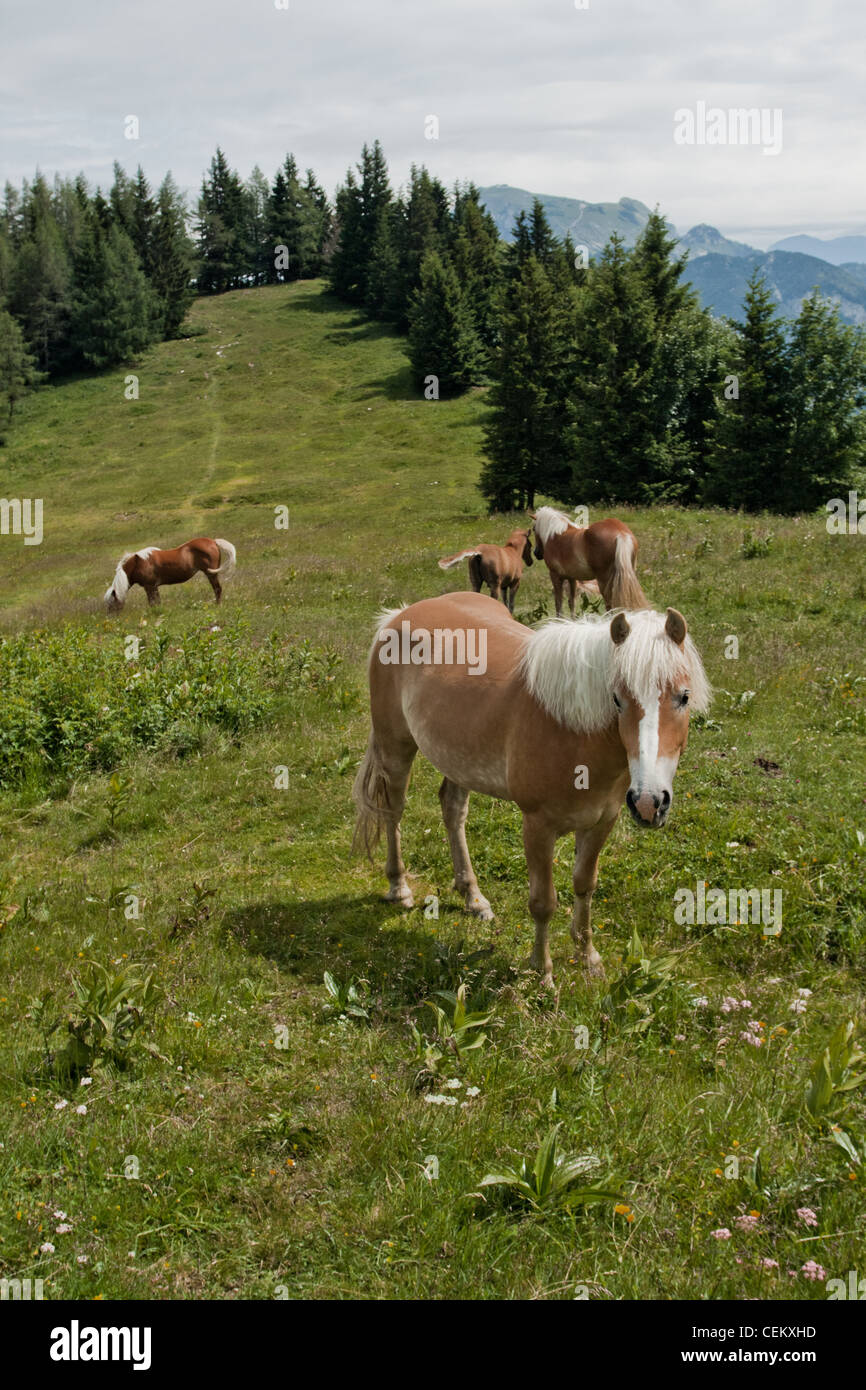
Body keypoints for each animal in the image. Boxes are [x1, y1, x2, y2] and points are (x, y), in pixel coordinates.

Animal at [103, 538, 236, 612]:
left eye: (112, 603)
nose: (110, 617)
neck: (138, 563)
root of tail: (213, 541)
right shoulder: (154, 587)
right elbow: (157, 602)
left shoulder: (149, 586)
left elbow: (152, 603)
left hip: (211, 574)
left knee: (217, 589)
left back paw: (217, 605)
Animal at [353, 591, 710, 984]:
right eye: (617, 698)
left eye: (684, 696)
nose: (648, 802)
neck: (572, 730)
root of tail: (398, 615)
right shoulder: (538, 826)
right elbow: (543, 902)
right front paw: (542, 972)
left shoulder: (602, 820)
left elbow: (585, 884)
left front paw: (588, 958)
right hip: (395, 747)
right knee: (392, 811)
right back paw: (399, 888)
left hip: (459, 760)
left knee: (452, 810)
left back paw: (473, 897)